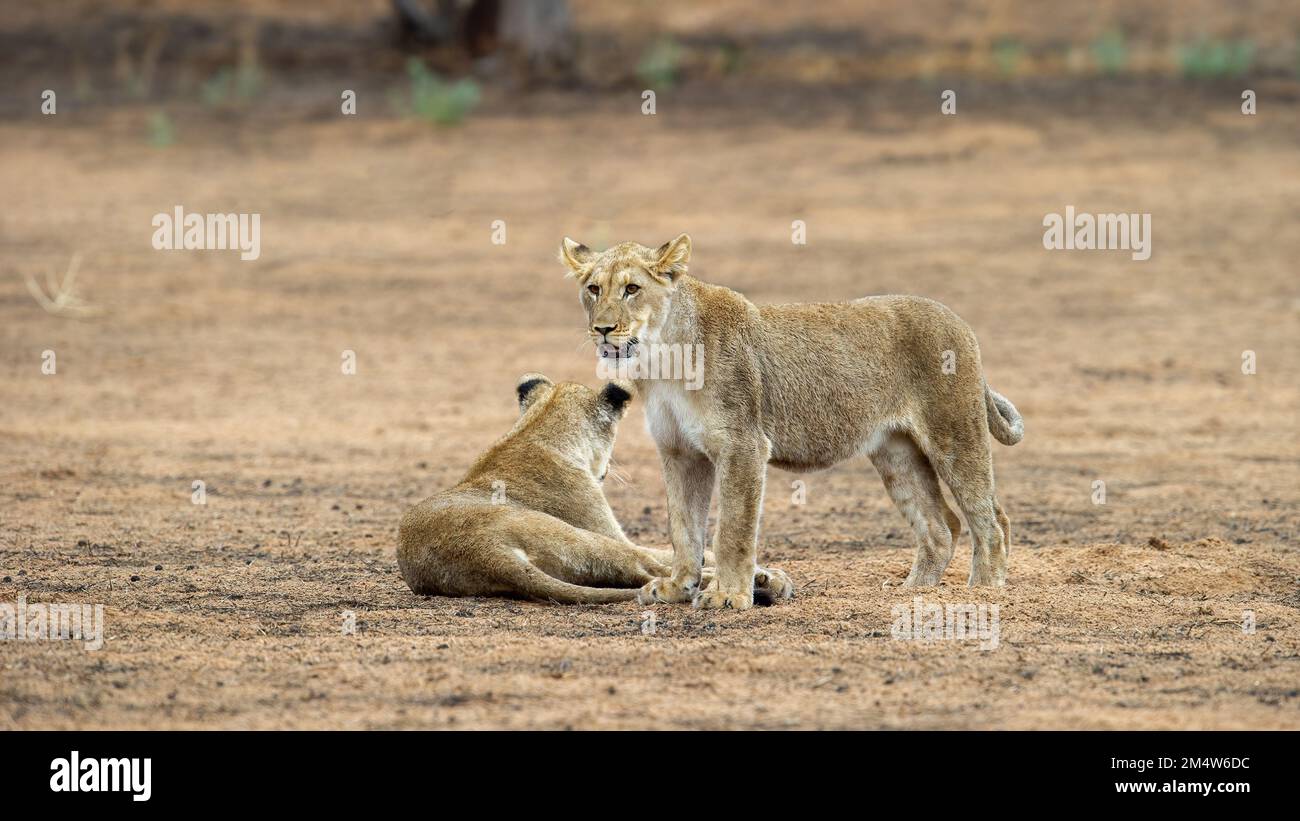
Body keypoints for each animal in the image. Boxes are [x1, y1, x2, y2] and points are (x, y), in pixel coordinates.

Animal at [559, 234, 1024, 609]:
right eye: (593, 289)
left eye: (632, 289)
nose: (603, 329)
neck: (661, 358)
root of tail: (957, 319)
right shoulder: (679, 451)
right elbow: (683, 527)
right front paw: (678, 587)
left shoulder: (742, 444)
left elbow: (733, 528)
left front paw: (728, 595)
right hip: (896, 453)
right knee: (940, 527)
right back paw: (914, 591)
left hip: (954, 434)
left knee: (991, 521)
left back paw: (983, 592)